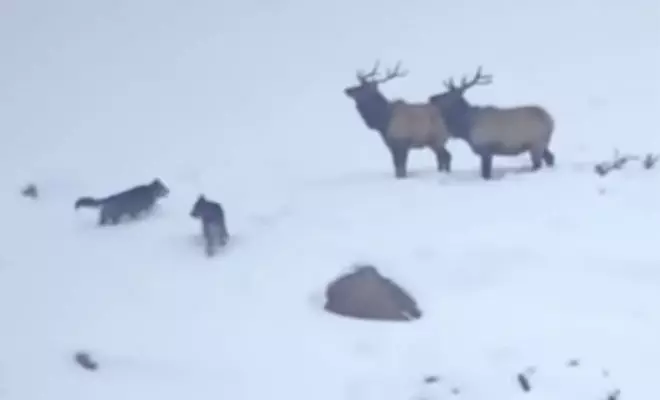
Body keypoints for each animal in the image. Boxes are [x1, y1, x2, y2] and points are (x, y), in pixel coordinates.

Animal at [428, 67, 556, 180]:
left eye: (447, 94)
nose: (432, 97)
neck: (466, 127)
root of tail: (551, 120)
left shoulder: (486, 149)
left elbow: (486, 174)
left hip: (537, 143)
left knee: (538, 164)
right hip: (542, 143)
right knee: (550, 158)